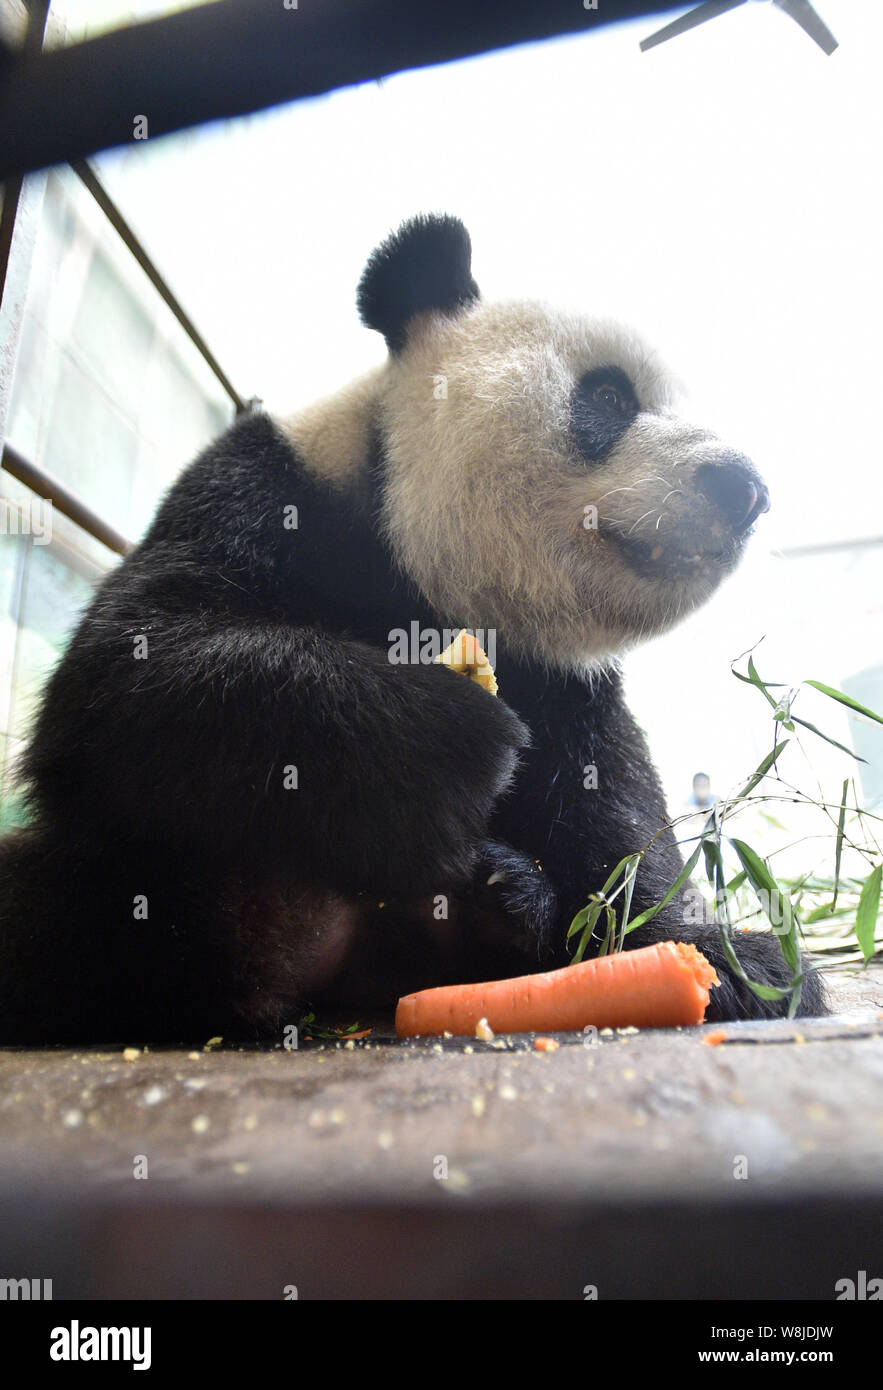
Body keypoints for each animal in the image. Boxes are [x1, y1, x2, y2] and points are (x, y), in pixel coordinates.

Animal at [0, 214, 826, 1041]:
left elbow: (611, 804)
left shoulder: (557, 672)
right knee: (71, 908)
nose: (743, 489)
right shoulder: (263, 492)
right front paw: (450, 739)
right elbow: (131, 671)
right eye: (609, 395)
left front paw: (730, 963)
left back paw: (498, 903)